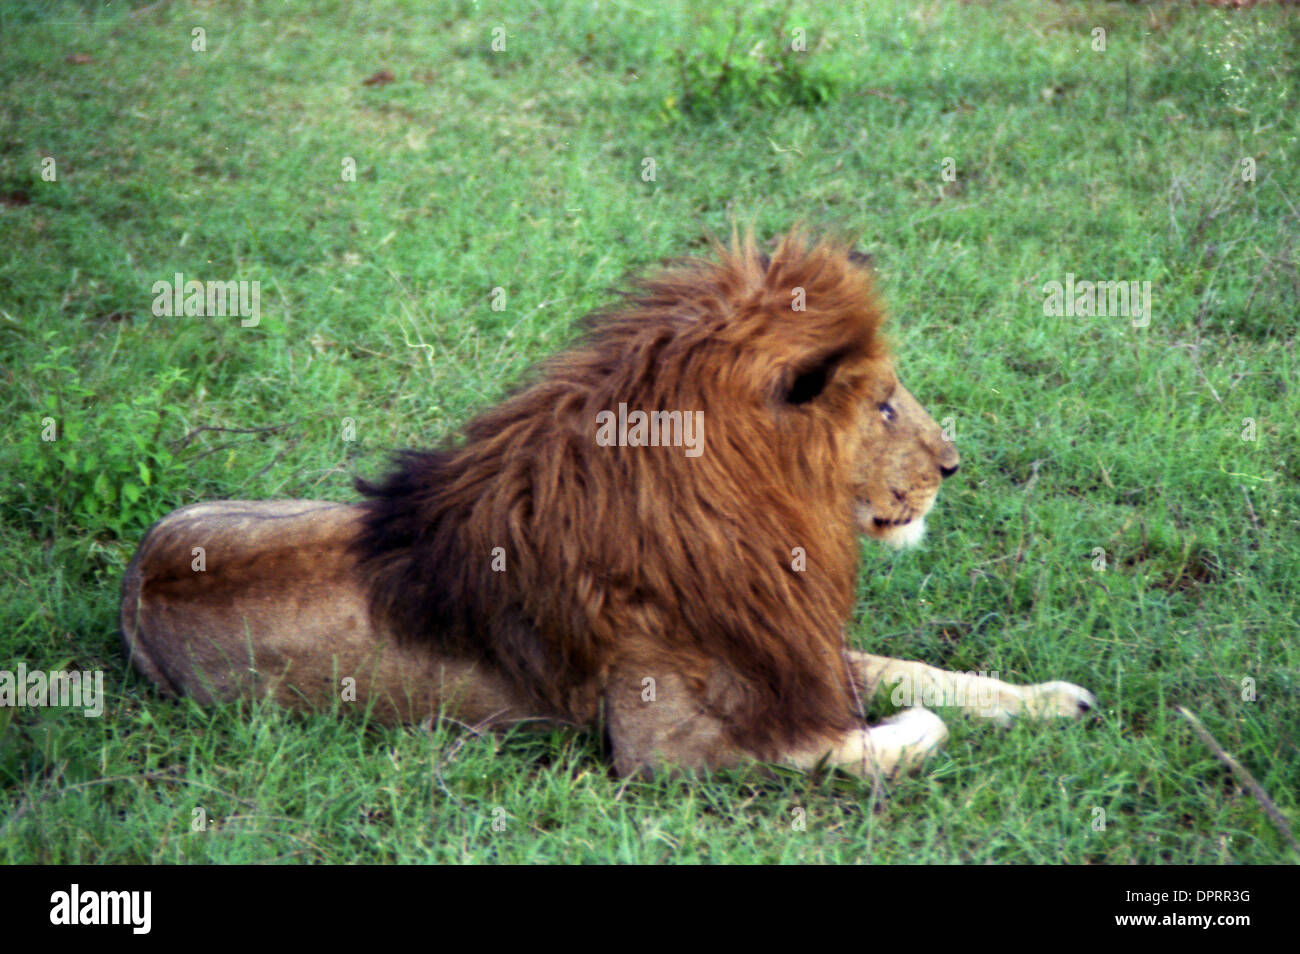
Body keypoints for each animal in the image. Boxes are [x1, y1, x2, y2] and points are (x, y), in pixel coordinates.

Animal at [120, 233, 1095, 779]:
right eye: (887, 404)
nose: (954, 465)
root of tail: (134, 581)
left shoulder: (782, 643)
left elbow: (918, 669)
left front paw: (1054, 699)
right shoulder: (661, 750)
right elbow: (875, 735)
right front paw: (903, 725)